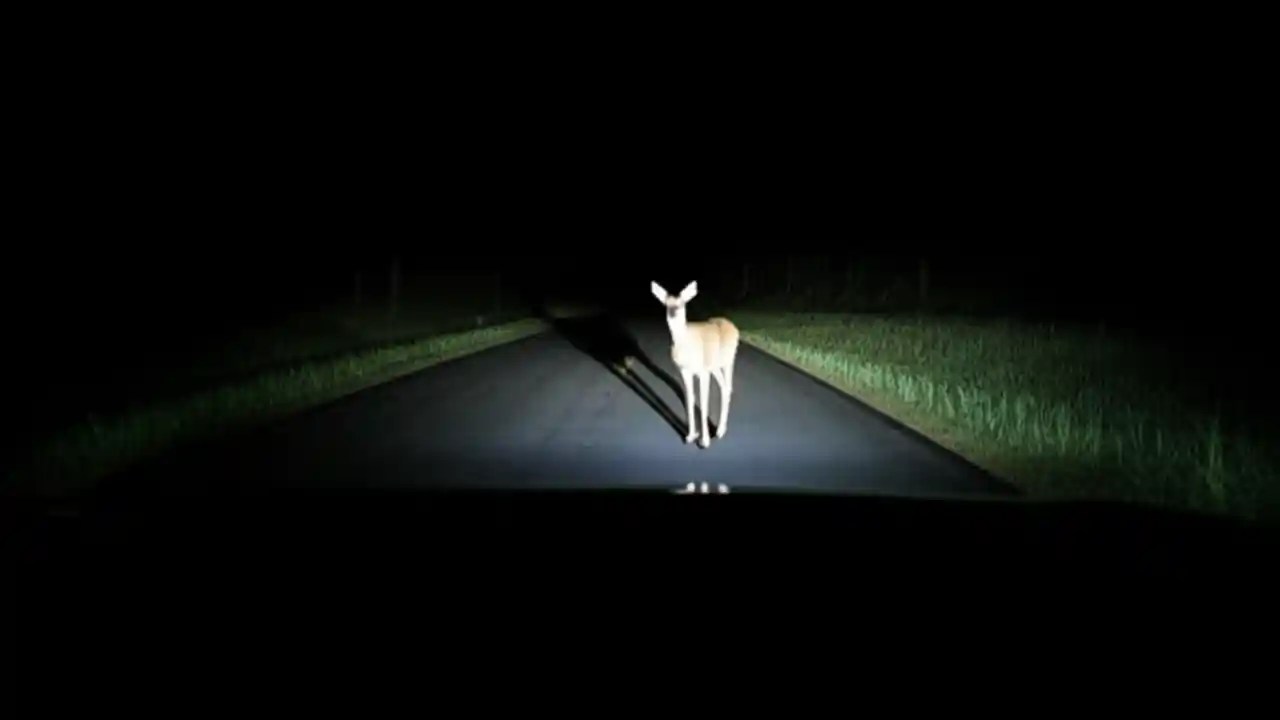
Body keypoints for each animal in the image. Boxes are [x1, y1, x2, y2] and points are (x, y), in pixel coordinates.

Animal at [651, 281, 739, 448]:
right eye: (666, 303)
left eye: (682, 303)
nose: (673, 311)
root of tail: (734, 327)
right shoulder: (684, 371)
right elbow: (690, 399)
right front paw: (690, 436)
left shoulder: (703, 372)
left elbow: (703, 403)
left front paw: (705, 441)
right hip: (715, 366)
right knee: (724, 387)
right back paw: (720, 430)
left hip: (728, 361)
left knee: (728, 387)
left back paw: (721, 431)